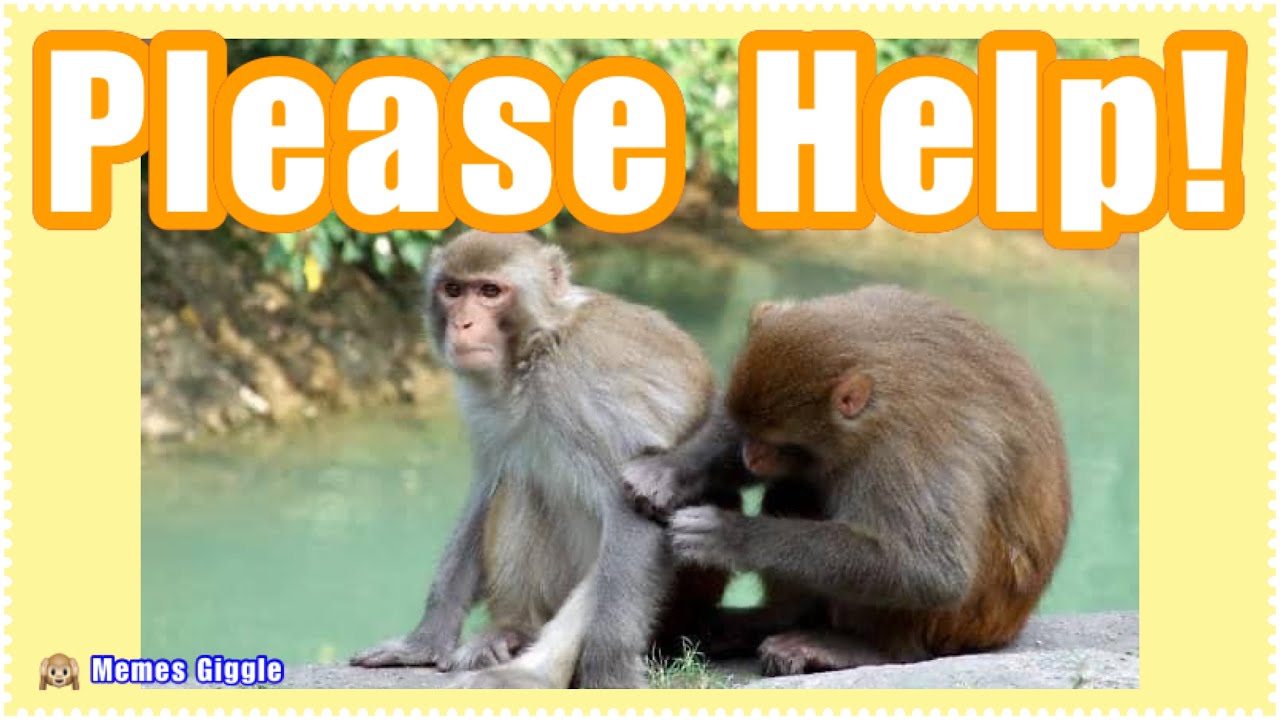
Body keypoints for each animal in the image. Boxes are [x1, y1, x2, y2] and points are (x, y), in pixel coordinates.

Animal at [350, 230, 730, 688]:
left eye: (490, 291)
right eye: (453, 290)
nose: (462, 323)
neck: (535, 353)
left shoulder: (590, 392)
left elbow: (635, 502)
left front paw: (609, 669)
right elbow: (486, 486)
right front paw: (424, 641)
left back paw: (529, 673)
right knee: (520, 482)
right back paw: (513, 632)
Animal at [623, 285, 1072, 676]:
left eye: (778, 443)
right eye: (749, 432)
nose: (751, 455)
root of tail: (1008, 626)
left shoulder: (906, 448)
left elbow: (932, 570)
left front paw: (731, 536)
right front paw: (666, 472)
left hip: (962, 624)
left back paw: (862, 647)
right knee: (795, 489)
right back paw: (777, 619)